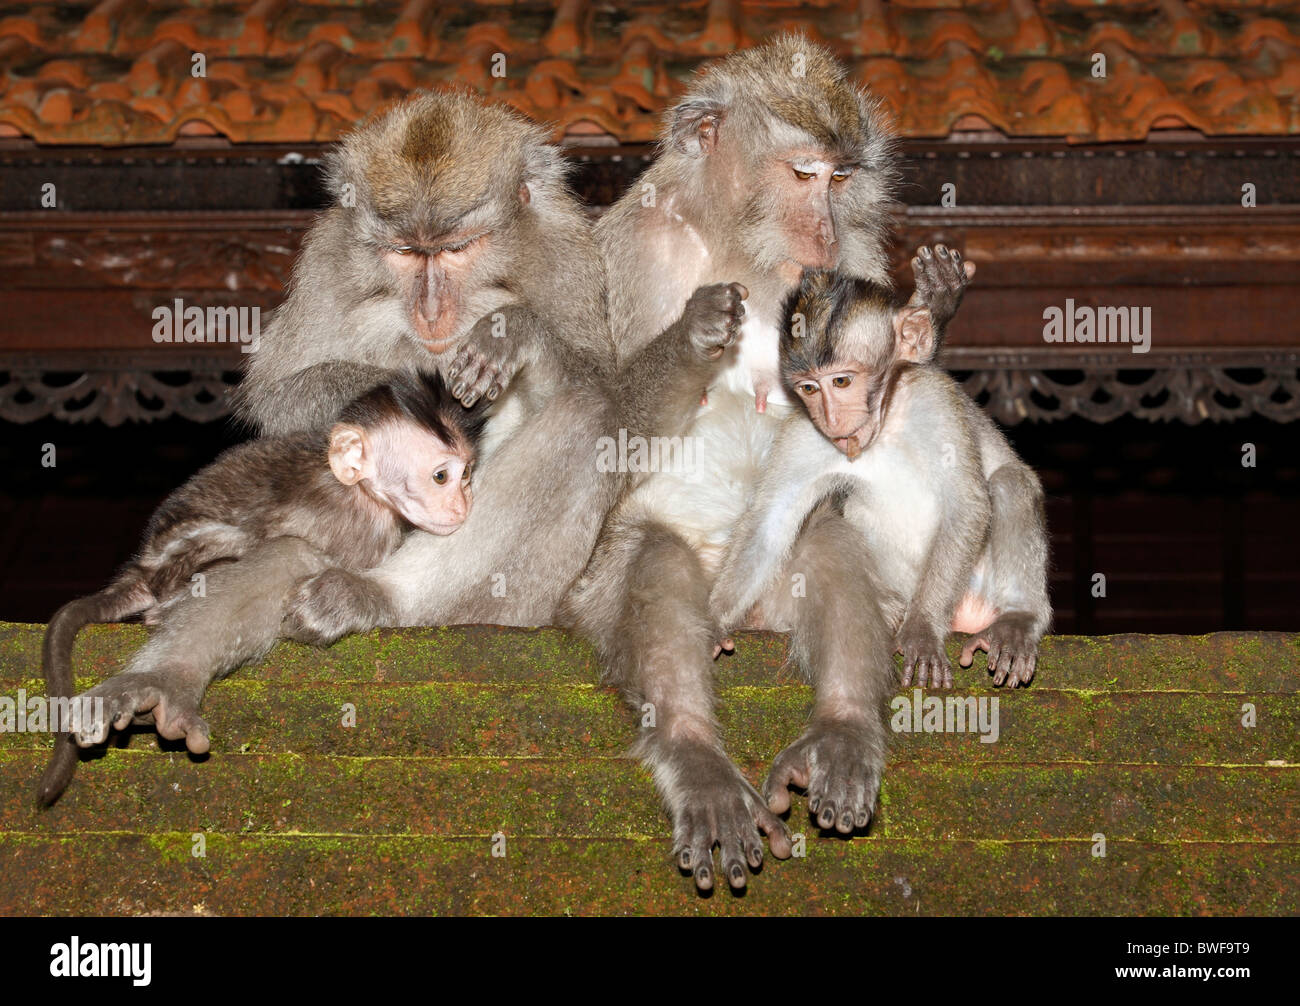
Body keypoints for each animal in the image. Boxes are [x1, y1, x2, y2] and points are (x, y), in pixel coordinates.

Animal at [37, 370, 485, 806]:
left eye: (465, 475)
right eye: (441, 477)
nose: (462, 505)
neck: (357, 490)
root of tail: (143, 571)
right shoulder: (357, 524)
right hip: (180, 564)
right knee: (278, 550)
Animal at [54, 90, 624, 764]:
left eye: (455, 249)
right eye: (406, 253)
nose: (431, 310)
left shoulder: (569, 254)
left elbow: (608, 394)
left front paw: (513, 332)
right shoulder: (328, 256)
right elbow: (278, 397)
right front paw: (398, 380)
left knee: (588, 416)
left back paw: (380, 604)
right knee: (291, 547)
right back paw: (163, 678)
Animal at [563, 36, 977, 892]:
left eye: (842, 179)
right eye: (801, 173)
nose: (821, 228)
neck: (739, 250)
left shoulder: (852, 266)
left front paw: (935, 312)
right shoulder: (631, 250)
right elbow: (599, 430)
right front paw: (694, 336)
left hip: (774, 594)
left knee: (826, 539)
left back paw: (841, 733)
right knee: (653, 562)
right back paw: (696, 756)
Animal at [710, 271, 1051, 696]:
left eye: (841, 381)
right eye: (809, 388)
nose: (832, 419)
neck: (885, 424)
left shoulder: (934, 400)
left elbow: (967, 503)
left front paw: (922, 629)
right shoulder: (803, 433)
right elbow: (770, 524)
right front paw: (711, 623)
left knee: (1008, 481)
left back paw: (1017, 619)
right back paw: (889, 609)